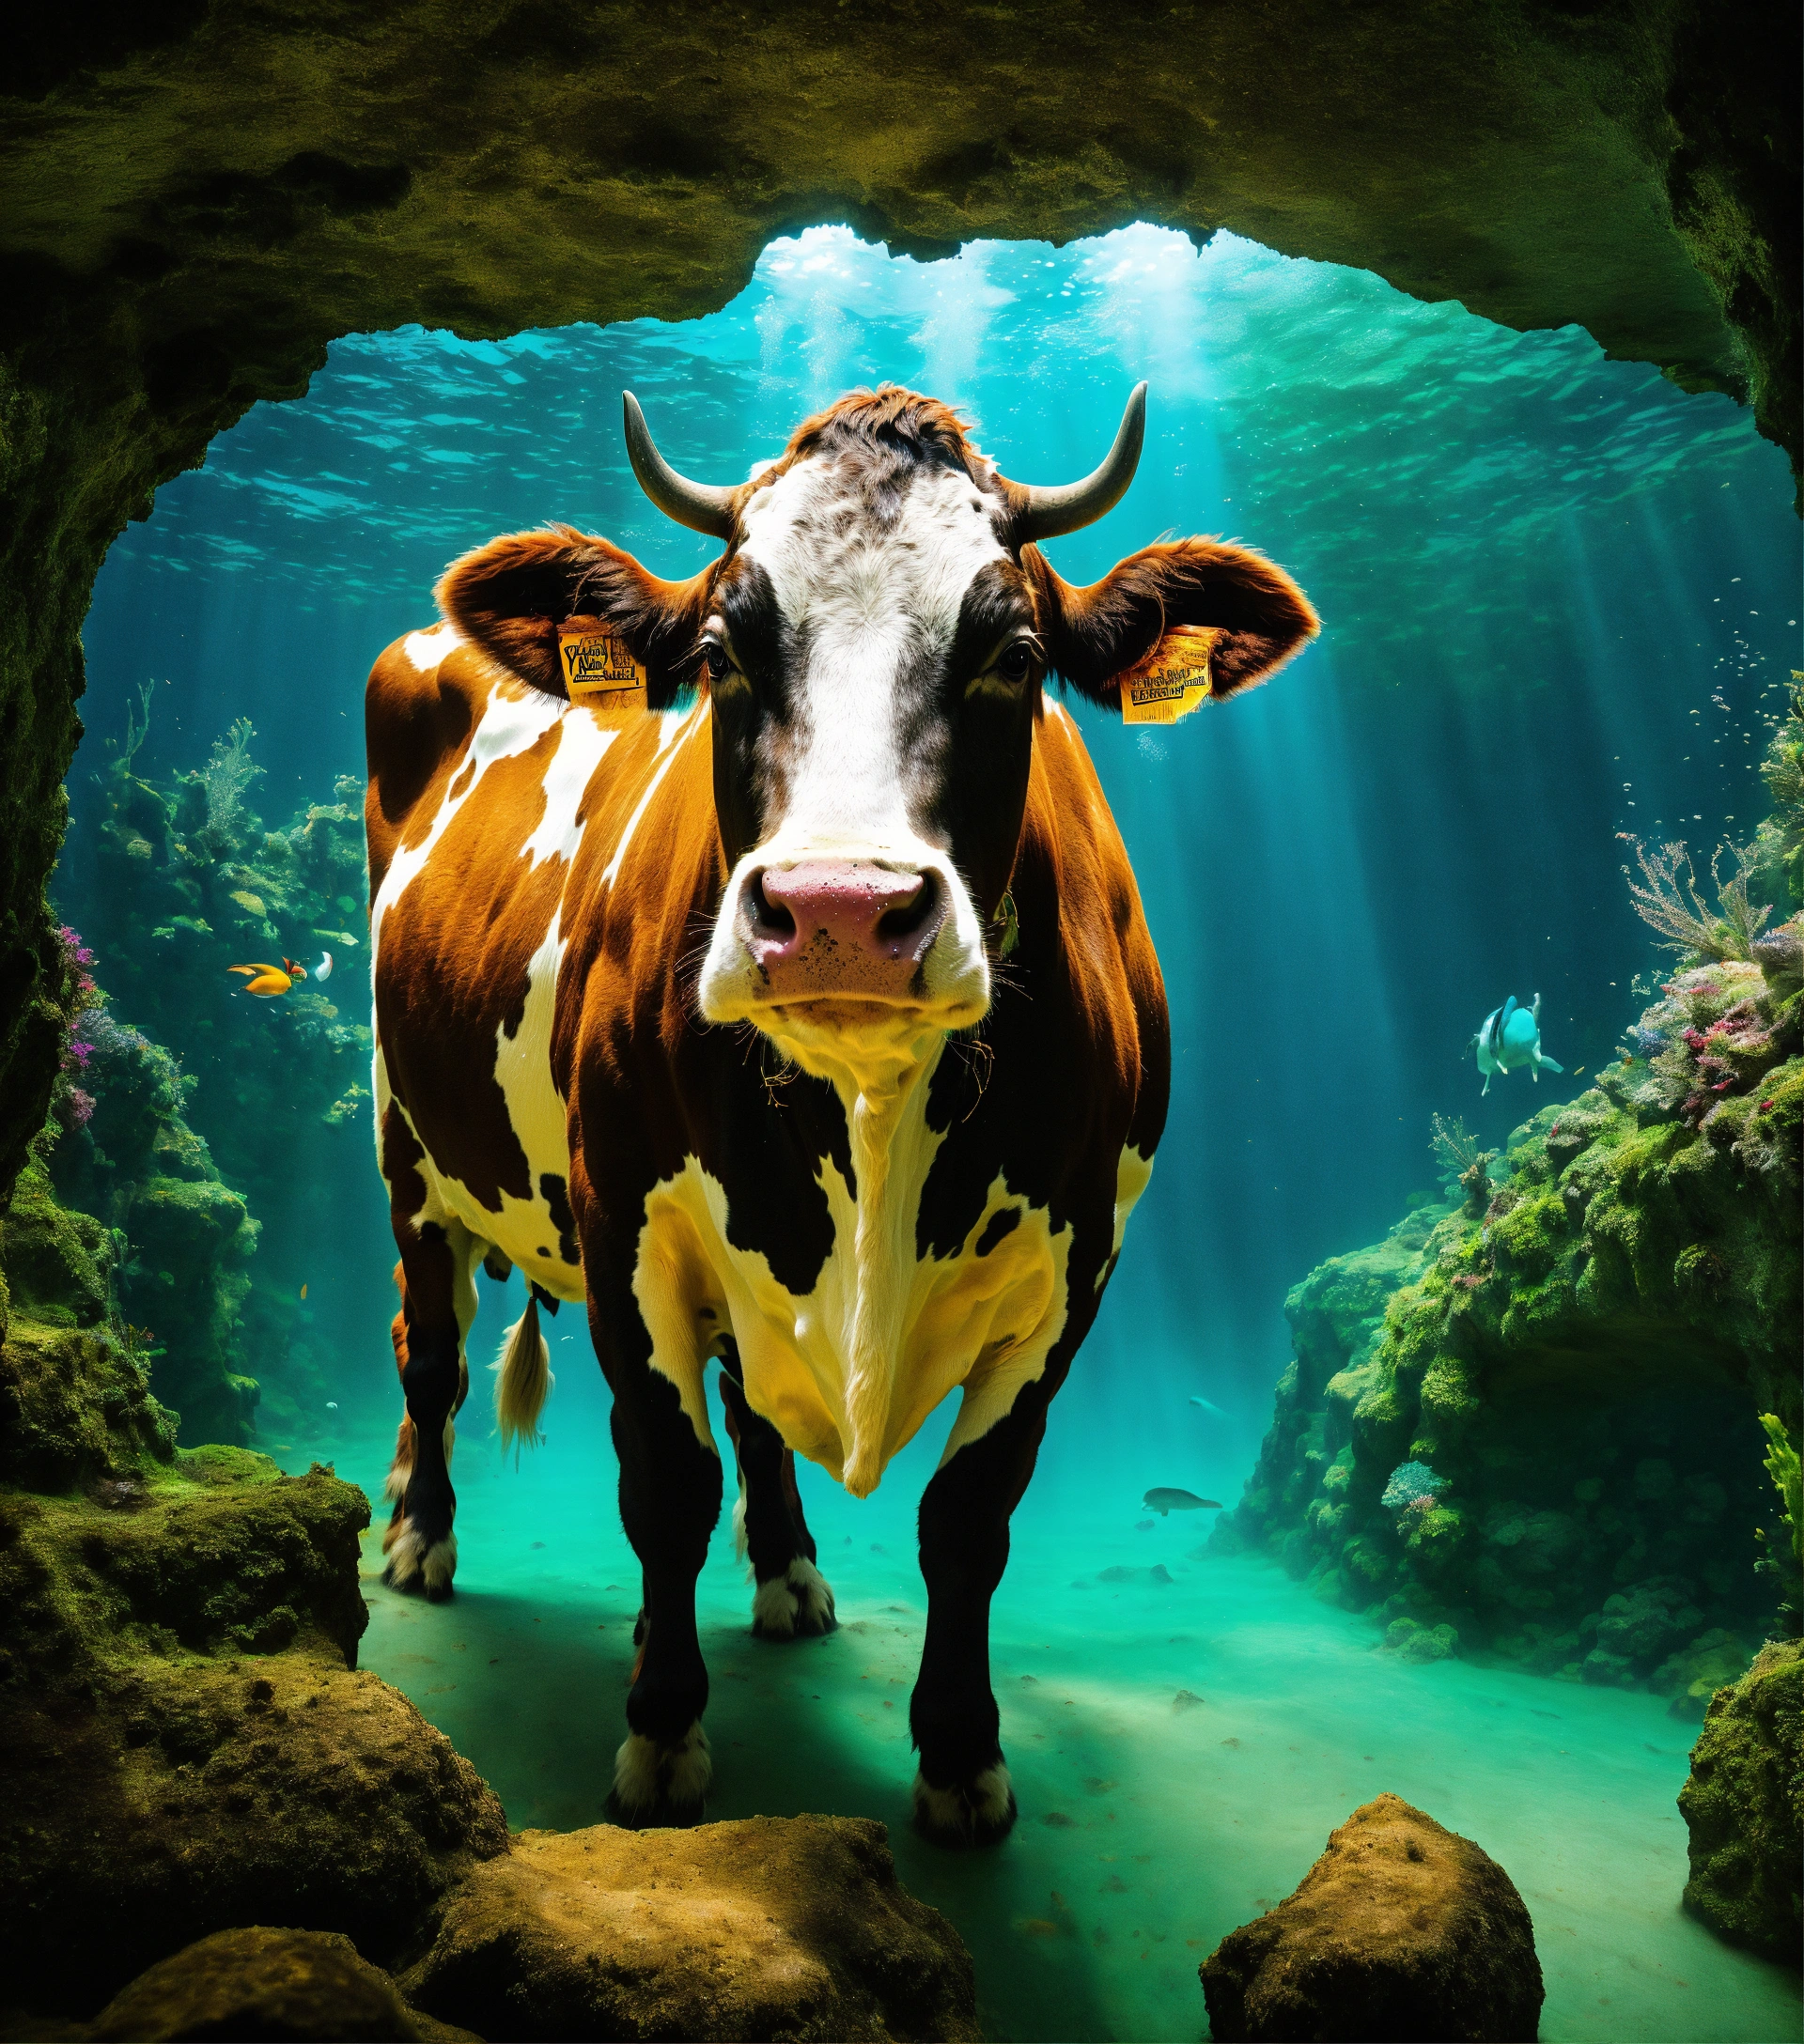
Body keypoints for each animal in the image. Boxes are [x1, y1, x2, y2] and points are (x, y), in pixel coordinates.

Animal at [365, 382, 1316, 1844]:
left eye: (1014, 653)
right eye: (720, 653)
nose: (838, 909)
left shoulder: (1077, 1270)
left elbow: (970, 1514)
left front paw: (962, 1752)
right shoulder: (623, 1222)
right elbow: (664, 1483)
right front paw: (662, 1729)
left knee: (751, 1404)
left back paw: (791, 1572)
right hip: (405, 1145)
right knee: (432, 1347)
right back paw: (422, 1530)